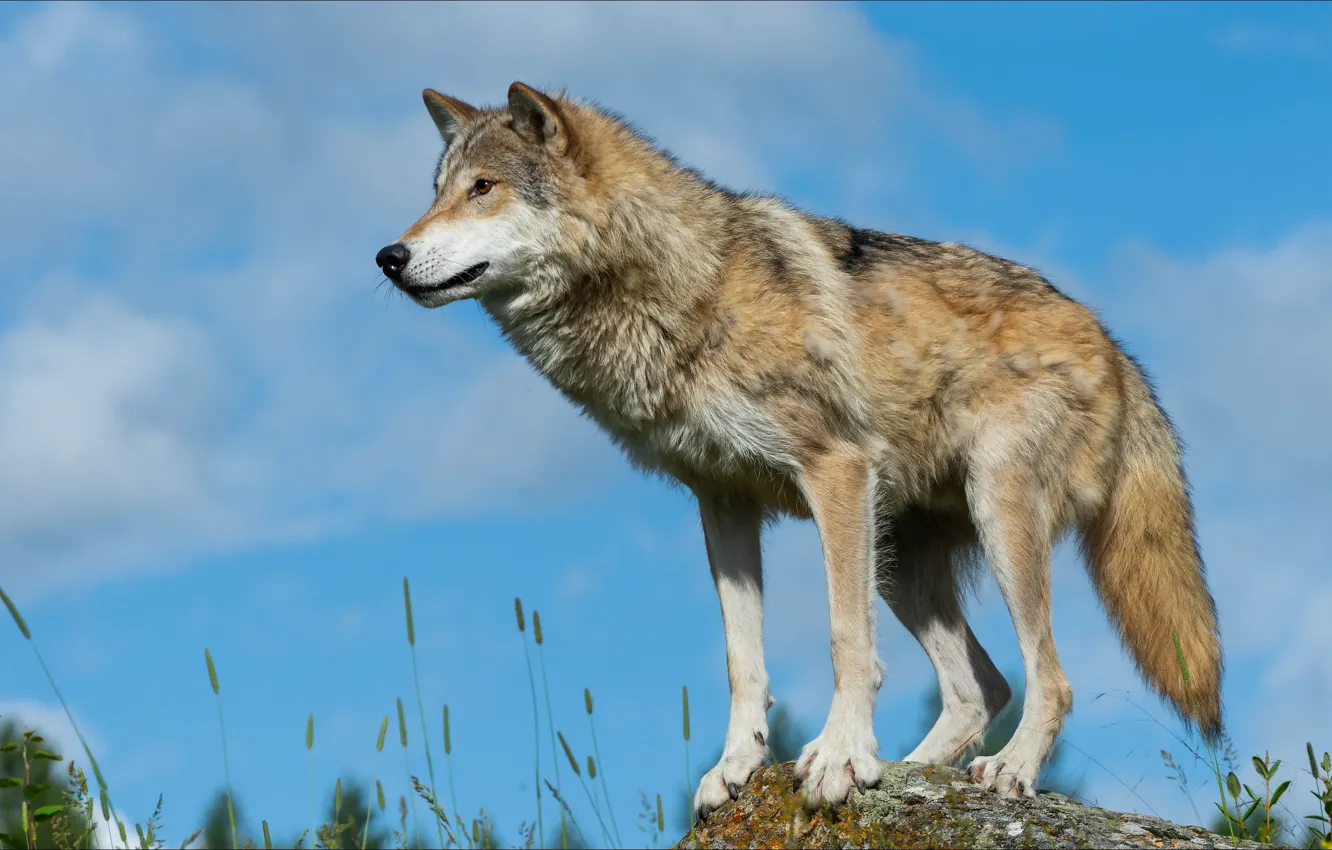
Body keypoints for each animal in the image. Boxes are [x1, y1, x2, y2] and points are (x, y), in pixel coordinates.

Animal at [375, 82, 1224, 816]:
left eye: (484, 188)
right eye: (436, 190)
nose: (389, 256)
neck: (689, 289)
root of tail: (1114, 344)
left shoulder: (834, 471)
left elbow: (845, 640)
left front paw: (840, 759)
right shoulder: (721, 502)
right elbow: (741, 659)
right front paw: (738, 767)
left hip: (993, 516)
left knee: (1050, 678)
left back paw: (1007, 773)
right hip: (901, 560)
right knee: (983, 685)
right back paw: (911, 772)